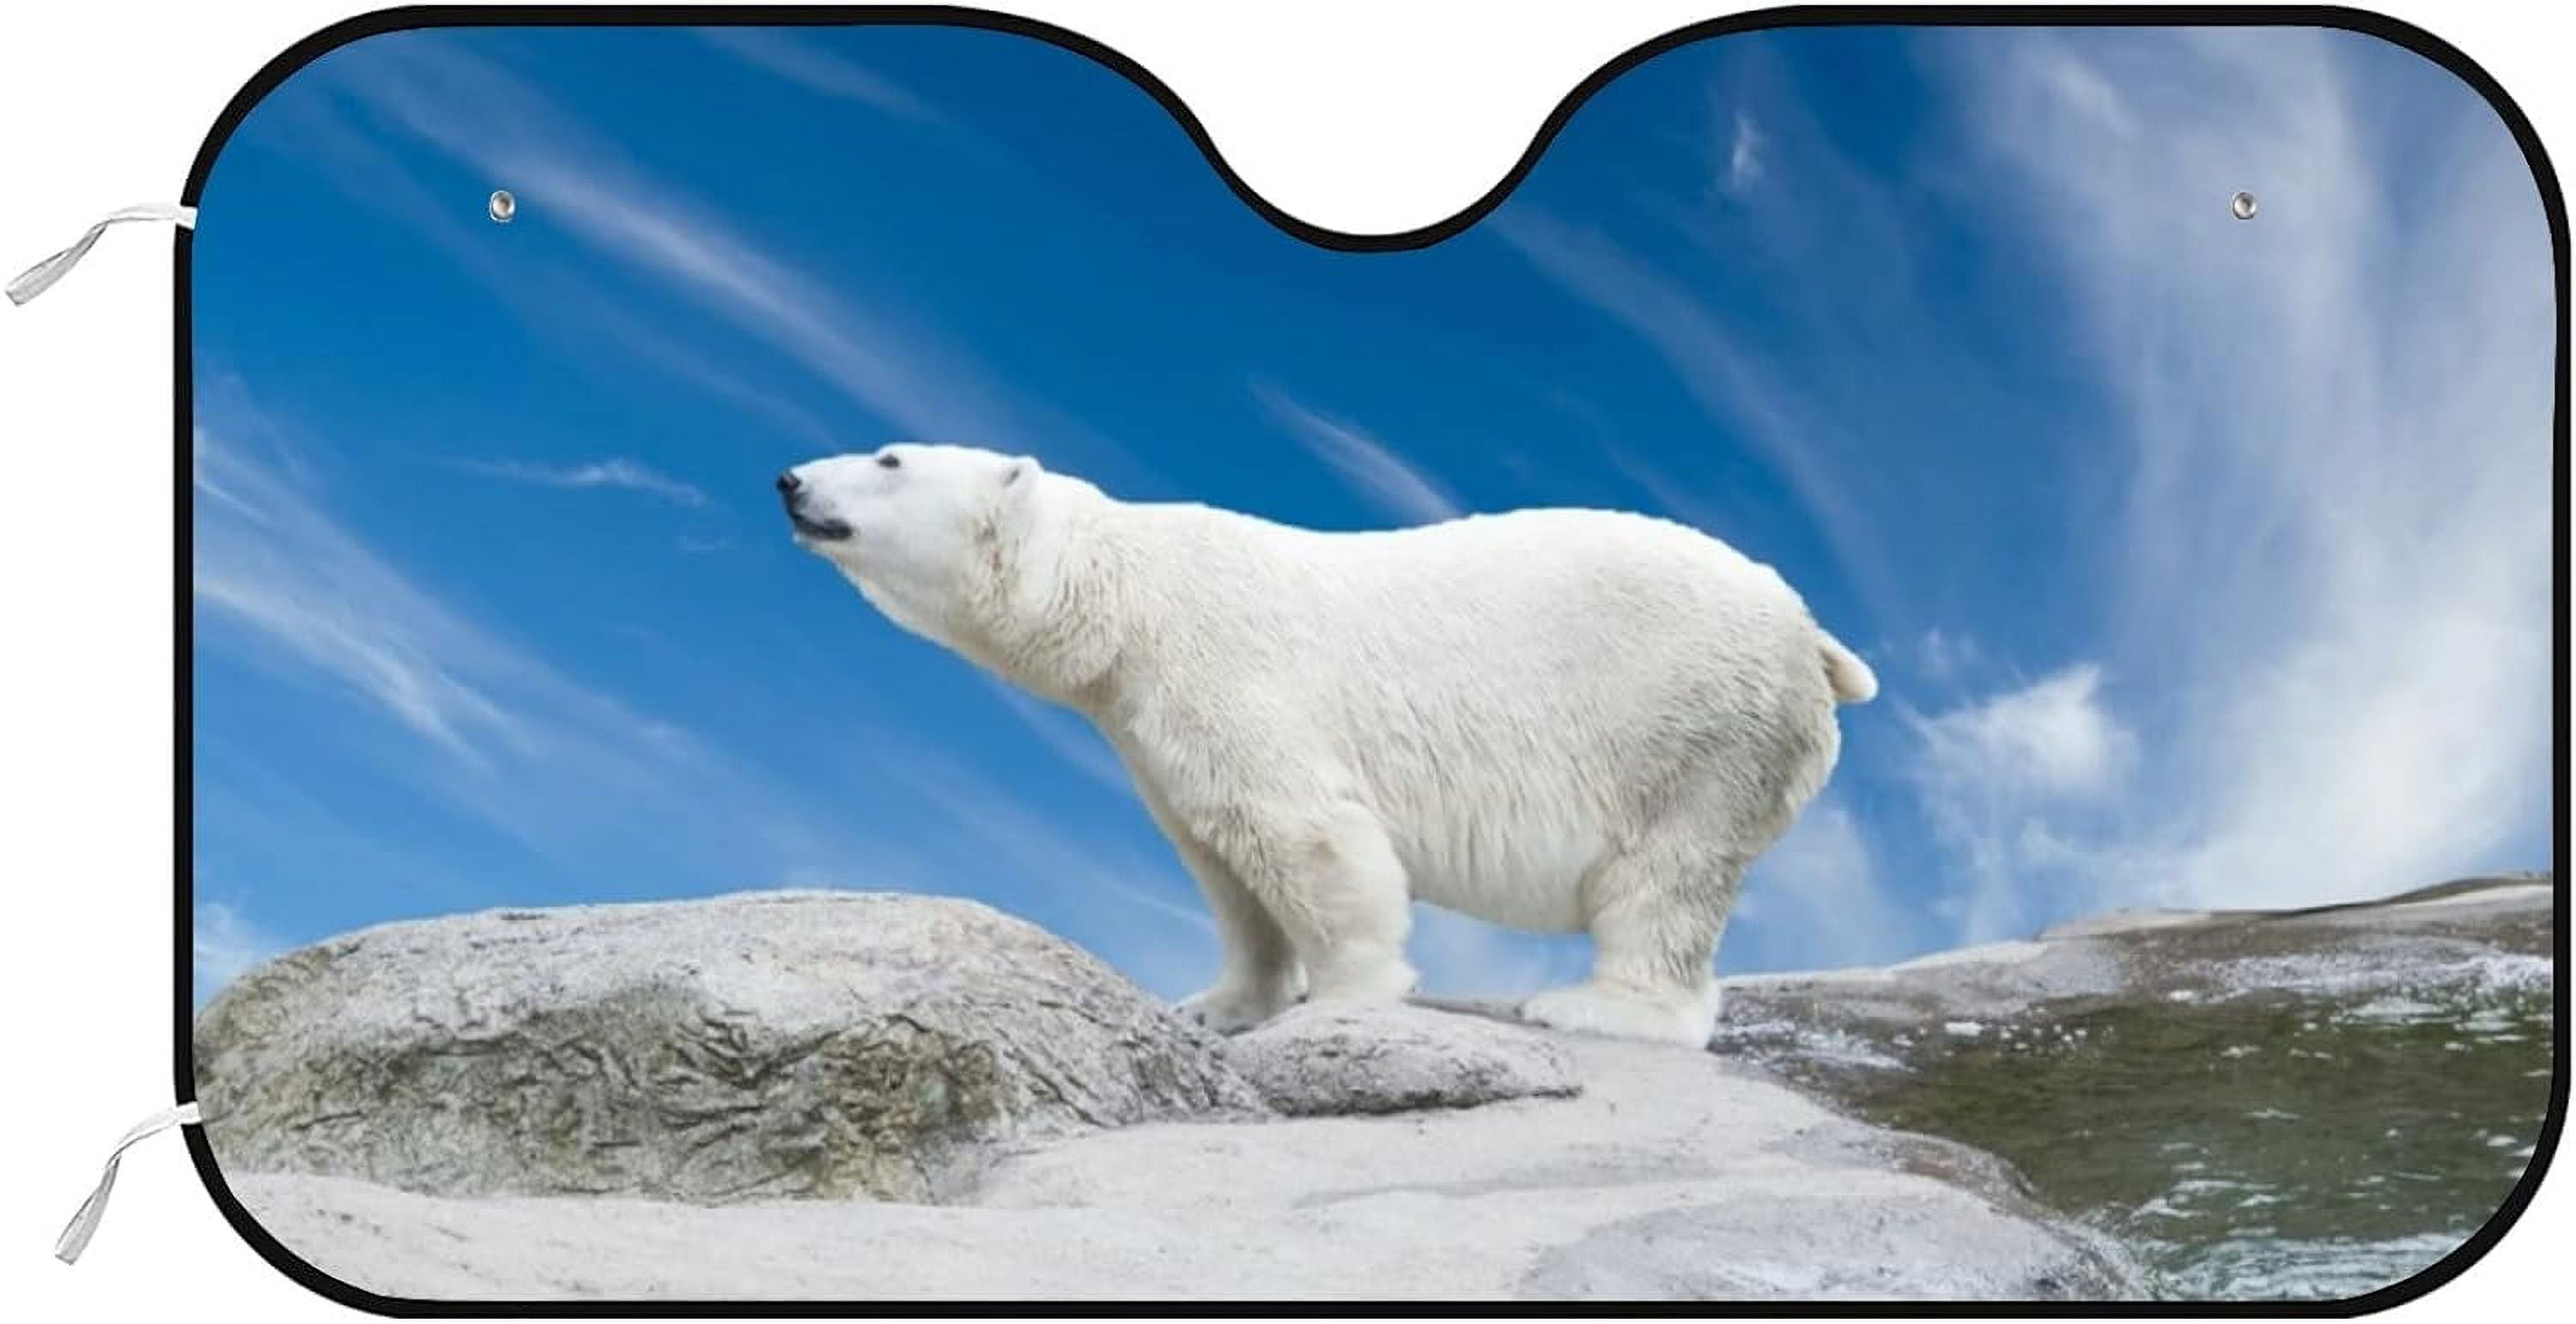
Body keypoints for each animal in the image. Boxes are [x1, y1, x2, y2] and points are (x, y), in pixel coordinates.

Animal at [778, 443, 1876, 1046]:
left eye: (889, 459)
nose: (789, 479)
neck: (1123, 596)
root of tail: (1814, 637)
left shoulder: (1226, 674)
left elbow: (1303, 836)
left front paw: (1351, 997)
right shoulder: (1149, 726)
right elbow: (1218, 859)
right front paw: (1224, 1003)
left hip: (1694, 729)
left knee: (1664, 877)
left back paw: (1599, 1008)